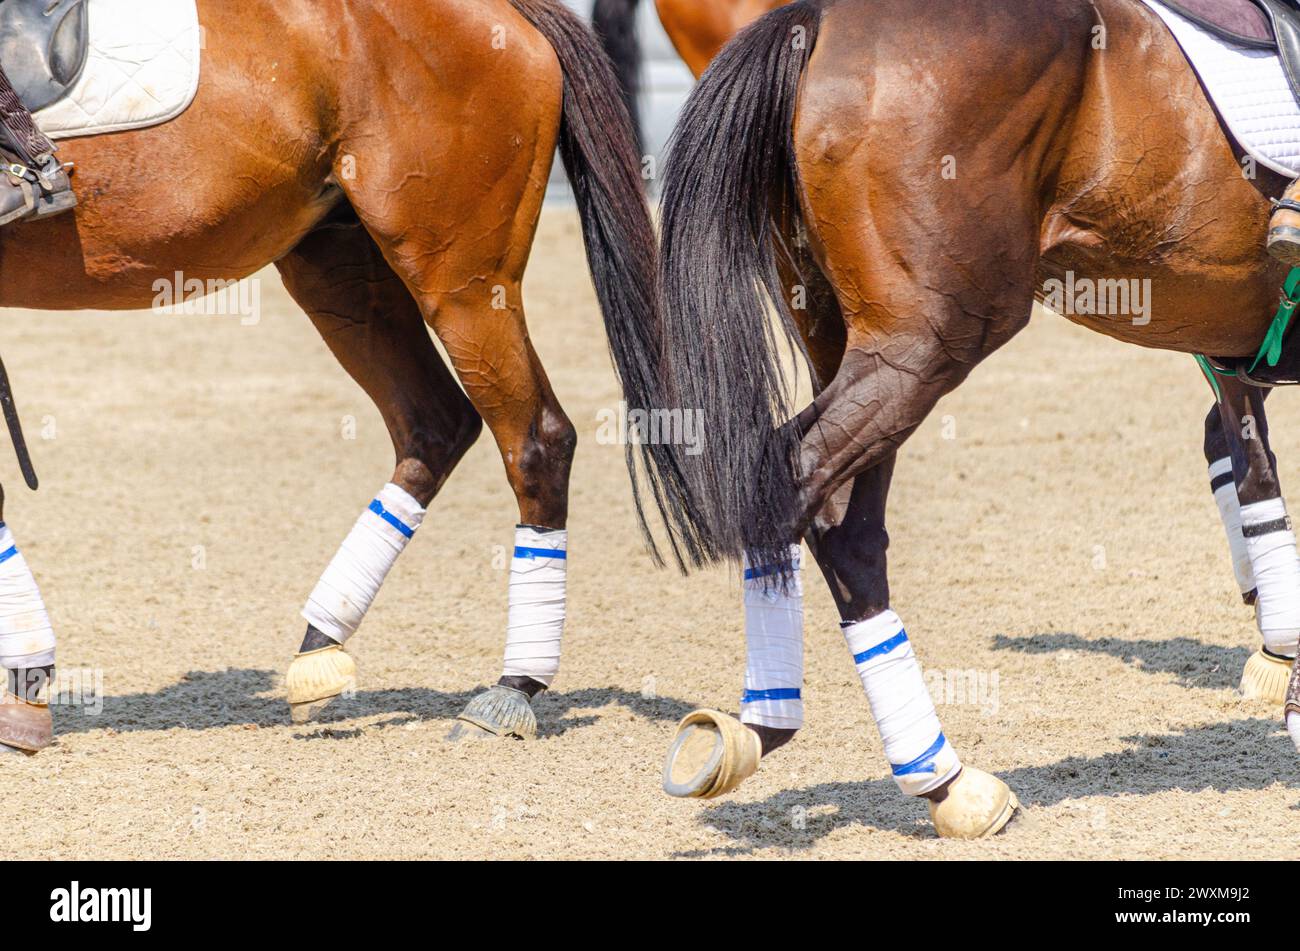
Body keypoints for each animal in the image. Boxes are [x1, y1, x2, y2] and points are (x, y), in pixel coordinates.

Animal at [0, 0, 659, 754]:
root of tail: (506, 15)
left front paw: (27, 676)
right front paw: (26, 676)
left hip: (461, 279)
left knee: (534, 438)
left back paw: (511, 688)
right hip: (339, 262)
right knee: (435, 424)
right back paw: (321, 645)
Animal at [606, 0, 1300, 837]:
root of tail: (820, 19)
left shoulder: (1231, 345)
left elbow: (1250, 467)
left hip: (860, 345)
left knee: (844, 528)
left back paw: (940, 780)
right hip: (925, 345)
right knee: (792, 484)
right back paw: (803, 728)